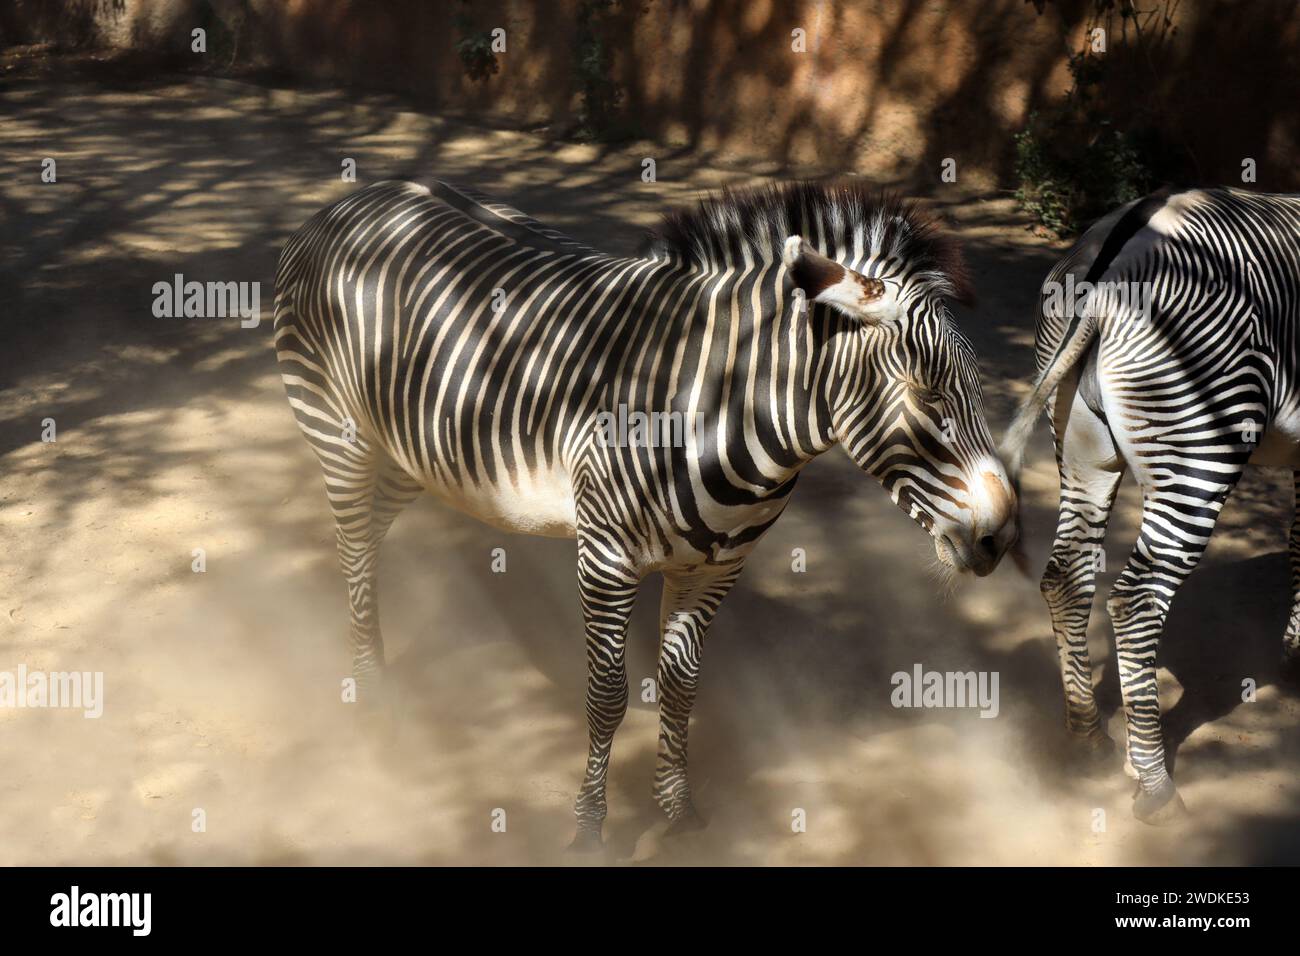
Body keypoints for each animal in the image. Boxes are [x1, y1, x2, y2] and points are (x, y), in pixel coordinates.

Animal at [273, 177, 1018, 849]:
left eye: (980, 391)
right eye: (926, 393)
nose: (1001, 537)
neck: (716, 404)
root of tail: (354, 197)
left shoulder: (716, 568)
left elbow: (683, 689)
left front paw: (677, 811)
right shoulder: (606, 557)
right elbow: (608, 697)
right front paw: (588, 828)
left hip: (413, 451)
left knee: (370, 535)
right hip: (339, 430)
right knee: (353, 546)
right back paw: (371, 689)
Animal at [1001, 187, 1300, 824]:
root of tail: (1126, 241)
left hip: (1082, 444)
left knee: (1066, 576)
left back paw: (1088, 738)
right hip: (1200, 442)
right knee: (1136, 599)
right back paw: (1155, 786)